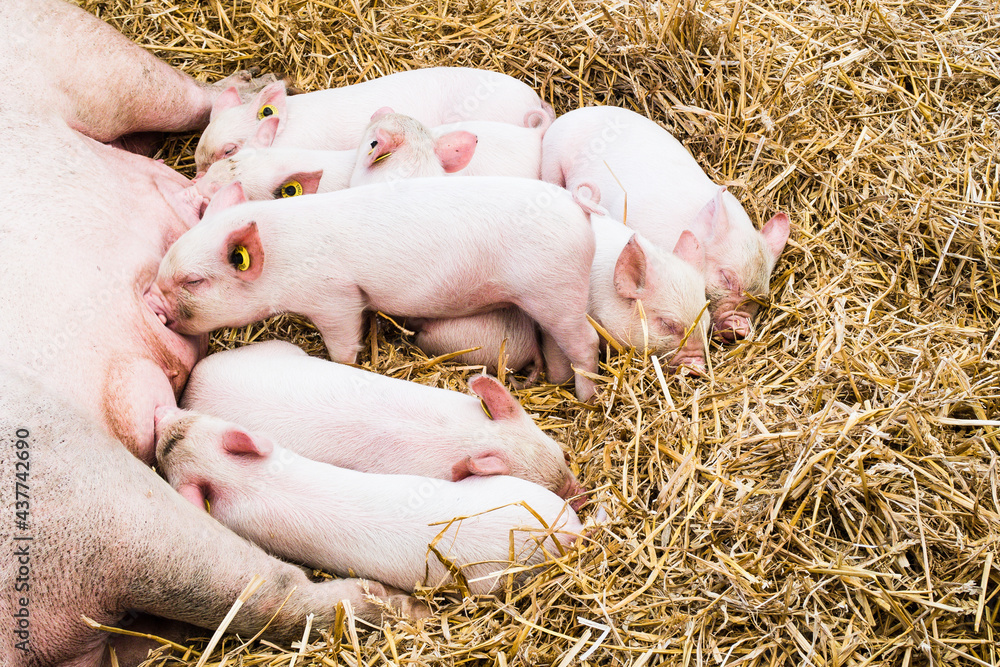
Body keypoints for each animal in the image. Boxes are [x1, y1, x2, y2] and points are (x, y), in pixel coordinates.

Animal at [153, 178, 601, 401]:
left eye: (193, 281)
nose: (152, 303)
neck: (284, 259)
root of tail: (576, 206)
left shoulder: (335, 298)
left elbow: (342, 345)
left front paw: (345, 362)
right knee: (557, 345)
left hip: (555, 289)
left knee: (587, 342)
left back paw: (586, 398)